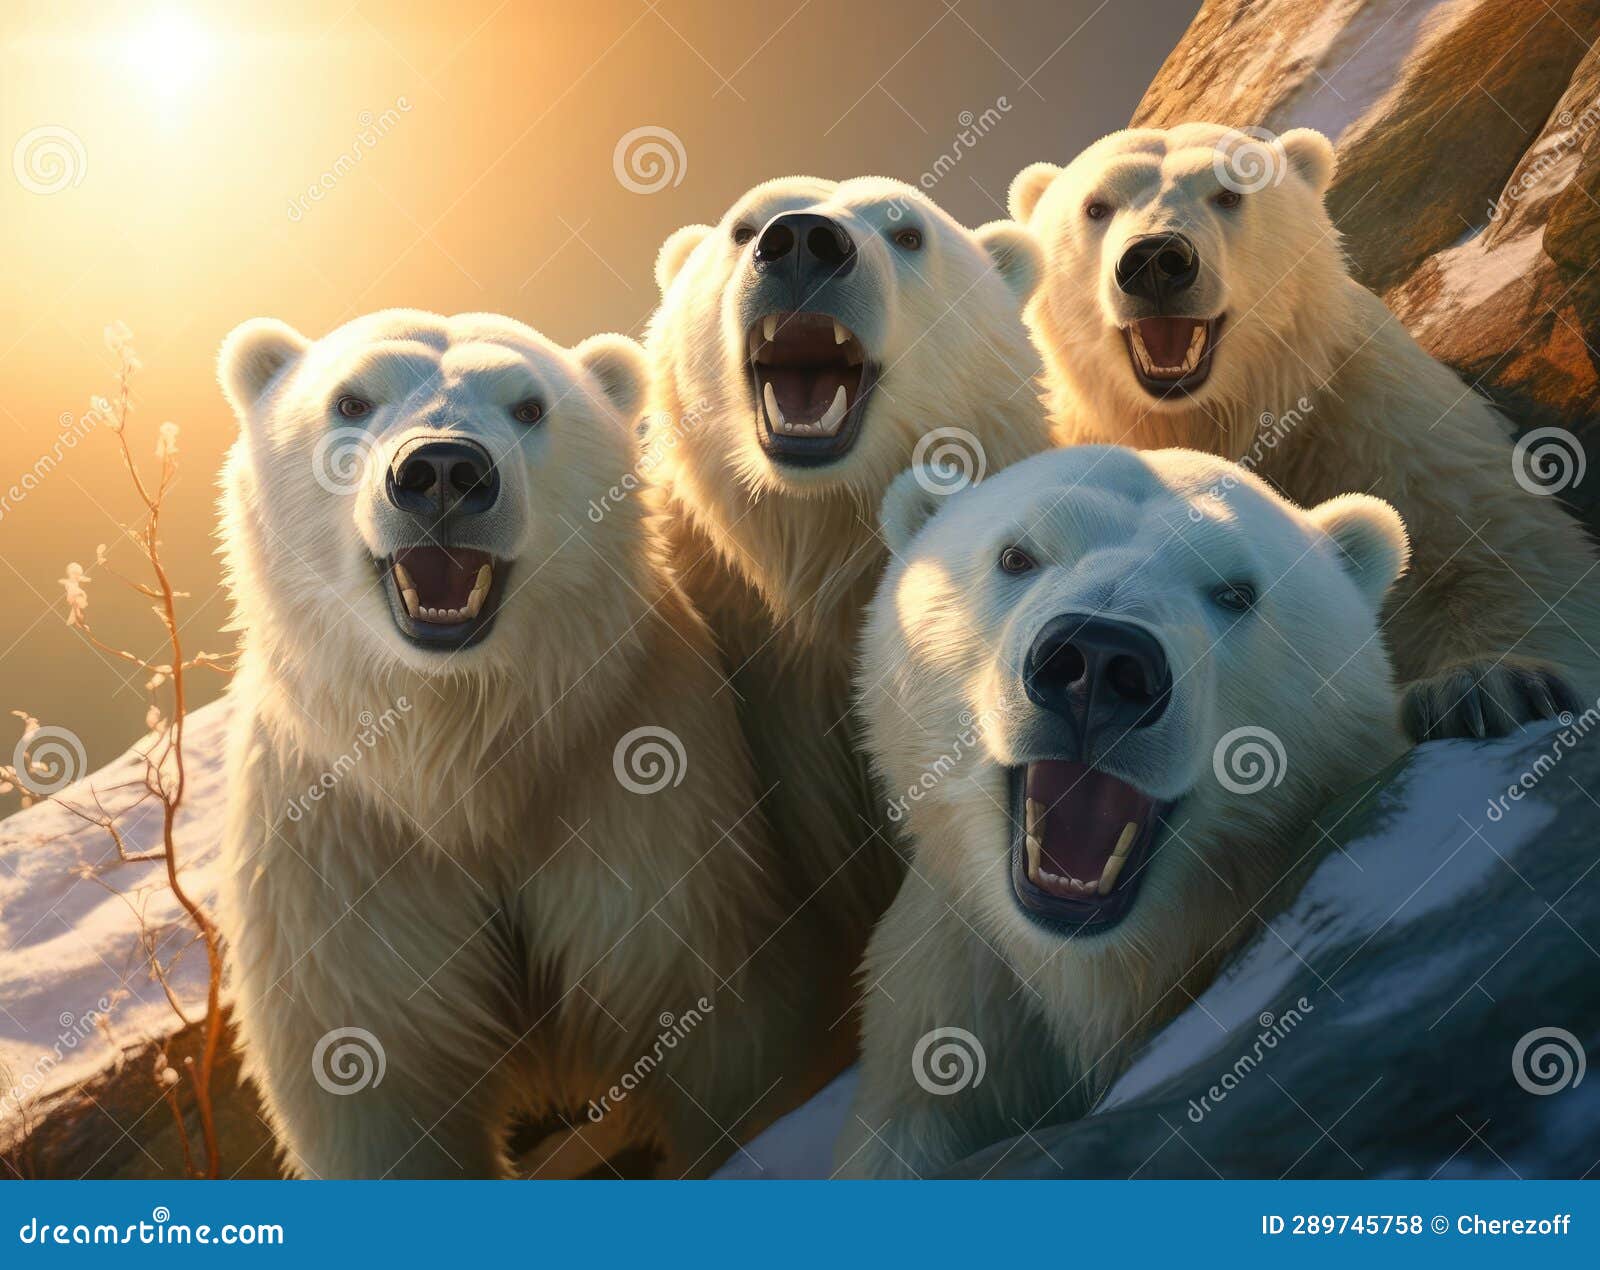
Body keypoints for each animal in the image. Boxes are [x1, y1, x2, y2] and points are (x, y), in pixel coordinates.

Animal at [216, 309, 803, 1178]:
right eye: (351, 401)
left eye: (529, 406)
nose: (441, 470)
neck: (461, 764)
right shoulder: (341, 849)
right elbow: (380, 1080)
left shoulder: (631, 794)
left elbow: (707, 1019)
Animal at [1008, 124, 1600, 743]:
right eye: (1096, 206)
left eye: (1229, 194)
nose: (1155, 259)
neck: (1213, 417)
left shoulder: (1364, 411)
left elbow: (1495, 543)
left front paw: (1490, 683)